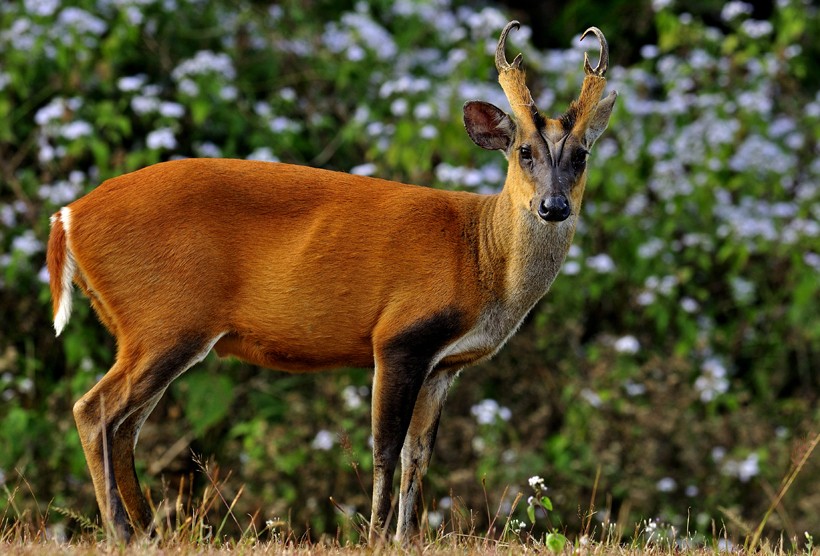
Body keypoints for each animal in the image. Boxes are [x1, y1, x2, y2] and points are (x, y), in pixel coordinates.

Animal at [46, 21, 616, 544]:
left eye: (581, 155)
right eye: (524, 151)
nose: (553, 206)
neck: (480, 254)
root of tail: (67, 217)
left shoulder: (443, 364)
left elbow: (418, 456)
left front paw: (406, 540)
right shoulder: (399, 336)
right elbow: (386, 448)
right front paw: (377, 539)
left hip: (148, 327)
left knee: (124, 426)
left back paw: (148, 533)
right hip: (165, 317)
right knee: (94, 410)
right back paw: (123, 534)